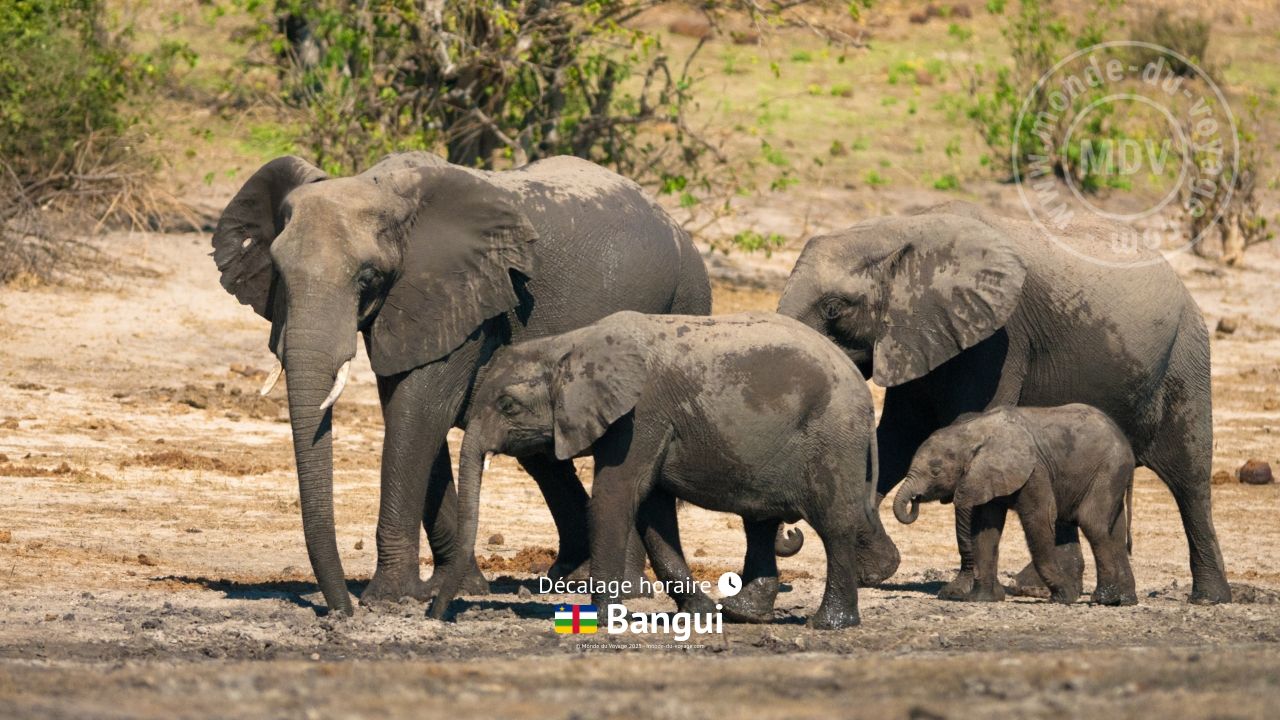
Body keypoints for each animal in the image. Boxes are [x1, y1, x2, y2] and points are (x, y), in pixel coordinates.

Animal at [209, 151, 711, 609]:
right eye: (278, 273)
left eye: (368, 276)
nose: (341, 610)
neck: (383, 189)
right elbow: (408, 413)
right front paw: (456, 588)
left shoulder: (463, 297)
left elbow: (417, 413)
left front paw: (386, 599)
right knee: (543, 456)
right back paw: (568, 579)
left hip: (684, 298)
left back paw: (623, 589)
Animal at [424, 308, 896, 627]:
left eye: (508, 405)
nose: (438, 613)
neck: (568, 344)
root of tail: (859, 382)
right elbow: (653, 511)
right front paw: (700, 613)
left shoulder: (641, 414)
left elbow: (616, 498)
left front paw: (605, 618)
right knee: (760, 522)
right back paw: (740, 615)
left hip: (833, 435)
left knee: (834, 525)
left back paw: (828, 624)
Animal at [896, 407, 1136, 602]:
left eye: (935, 472)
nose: (915, 500)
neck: (973, 432)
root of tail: (1127, 446)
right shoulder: (985, 475)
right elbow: (985, 529)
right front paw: (983, 599)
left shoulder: (1035, 470)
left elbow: (1039, 519)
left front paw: (1064, 597)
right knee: (1115, 530)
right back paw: (1123, 600)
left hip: (1108, 469)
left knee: (1092, 523)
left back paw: (1103, 599)